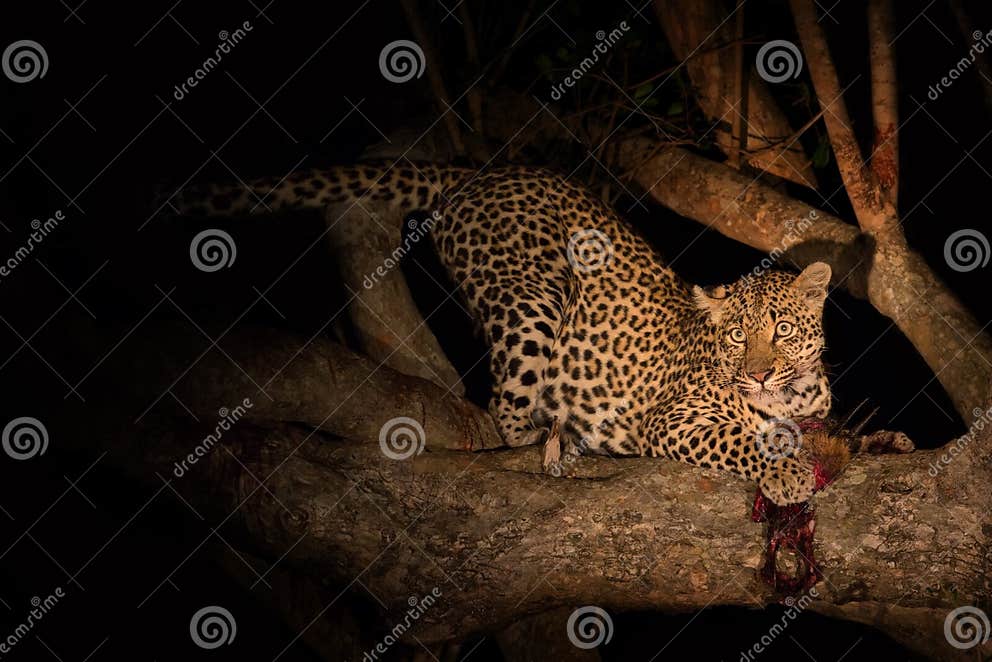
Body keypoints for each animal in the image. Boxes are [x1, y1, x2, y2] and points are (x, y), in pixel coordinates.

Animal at [164, 161, 852, 505]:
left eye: (781, 329)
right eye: (736, 337)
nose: (758, 372)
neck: (788, 394)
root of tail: (478, 175)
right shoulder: (673, 420)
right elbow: (744, 440)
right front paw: (786, 471)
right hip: (532, 304)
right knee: (506, 414)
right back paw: (556, 439)